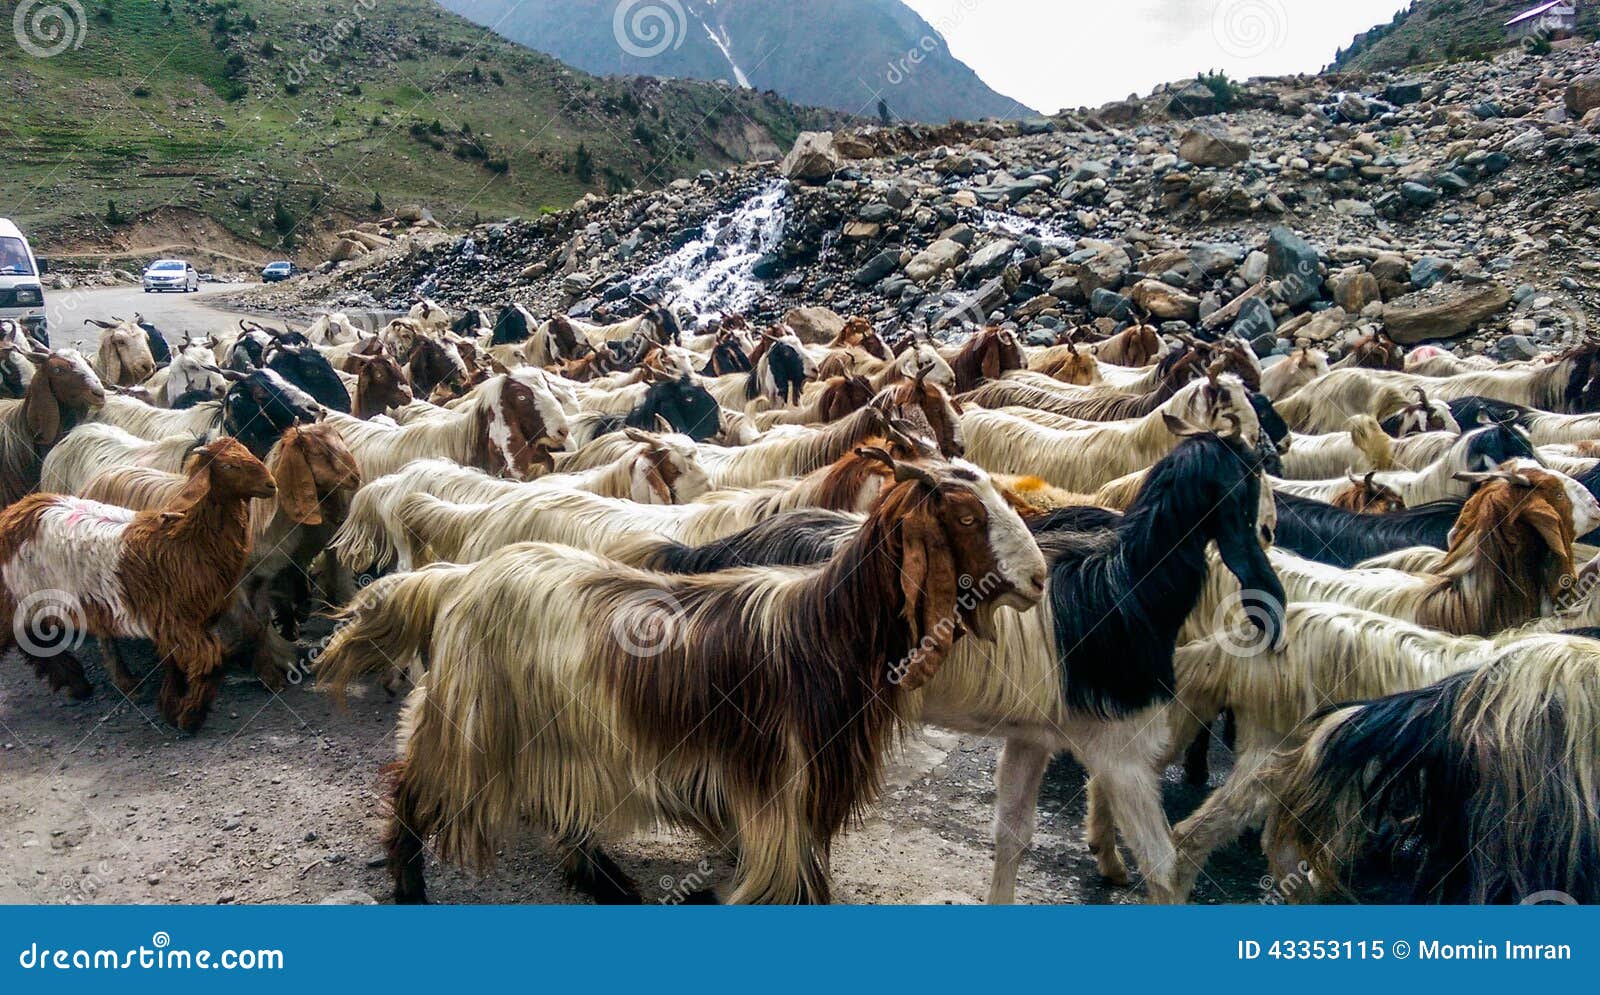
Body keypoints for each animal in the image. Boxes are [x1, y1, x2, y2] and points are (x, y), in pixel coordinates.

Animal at [0, 438, 275, 731]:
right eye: (228, 466)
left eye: (248, 452)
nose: (271, 484)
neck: (185, 541)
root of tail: (17, 510)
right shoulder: (178, 621)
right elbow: (208, 662)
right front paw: (190, 717)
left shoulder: (186, 622)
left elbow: (177, 664)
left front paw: (170, 708)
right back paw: (120, 684)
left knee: (33, 638)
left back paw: (79, 684)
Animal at [318, 455, 1046, 904]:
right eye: (966, 516)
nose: (1039, 578)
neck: (826, 632)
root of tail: (459, 578)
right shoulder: (782, 793)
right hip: (469, 724)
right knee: (410, 791)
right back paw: (411, 887)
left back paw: (608, 883)